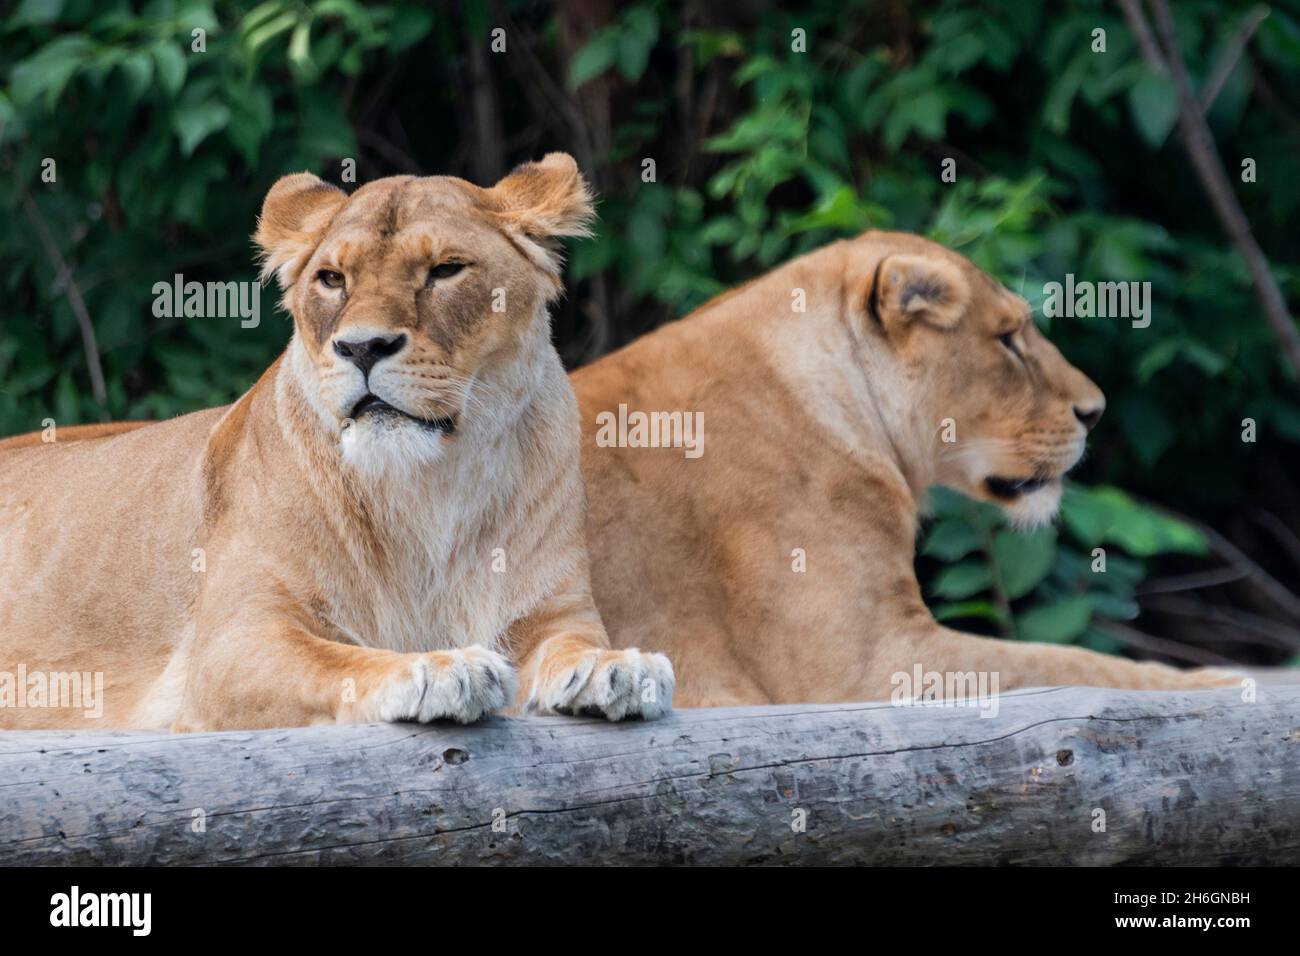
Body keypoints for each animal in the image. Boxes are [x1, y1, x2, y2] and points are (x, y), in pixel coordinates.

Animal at [0, 153, 673, 730]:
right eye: (331, 279)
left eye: (445, 270)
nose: (362, 347)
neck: (427, 487)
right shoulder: (231, 648)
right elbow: (344, 659)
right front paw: (439, 665)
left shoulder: (554, 609)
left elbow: (574, 642)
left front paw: (616, 667)